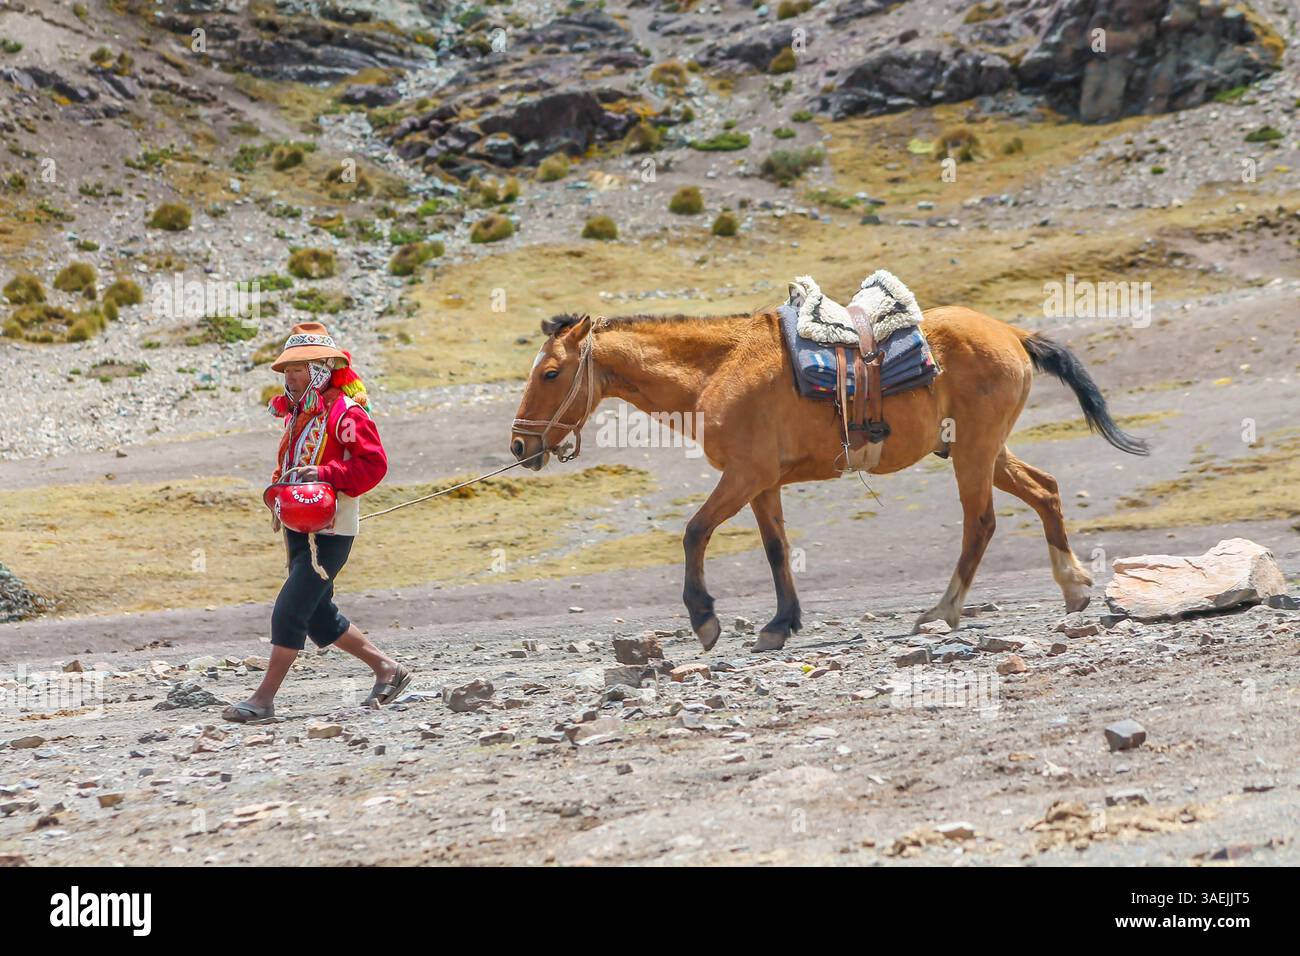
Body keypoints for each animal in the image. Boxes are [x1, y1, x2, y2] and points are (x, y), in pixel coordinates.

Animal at [510, 306, 1148, 653]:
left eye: (551, 372)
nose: (519, 445)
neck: (718, 370)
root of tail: (1012, 333)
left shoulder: (743, 475)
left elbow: (694, 532)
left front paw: (705, 619)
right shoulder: (763, 483)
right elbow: (776, 549)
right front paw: (779, 624)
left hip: (973, 455)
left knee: (981, 522)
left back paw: (942, 611)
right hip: (985, 452)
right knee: (1044, 489)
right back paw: (1073, 586)